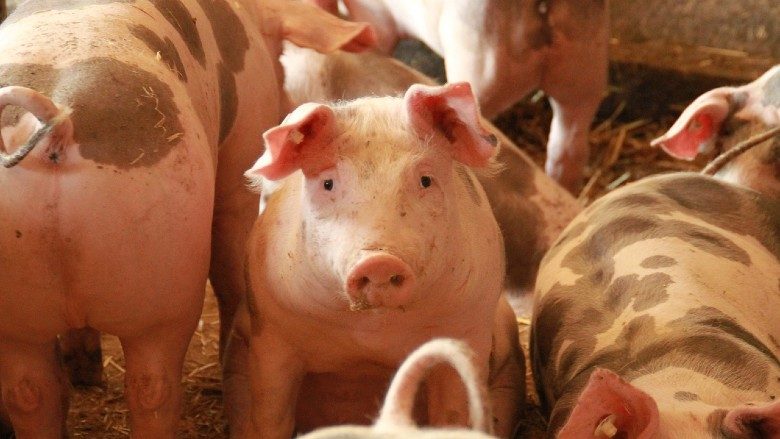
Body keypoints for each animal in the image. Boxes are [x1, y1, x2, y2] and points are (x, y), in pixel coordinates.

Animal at [0, 0, 373, 436]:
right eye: (279, 59)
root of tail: (56, 127)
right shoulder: (238, 162)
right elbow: (230, 265)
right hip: (166, 281)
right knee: (152, 385)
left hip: (21, 314)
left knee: (30, 391)